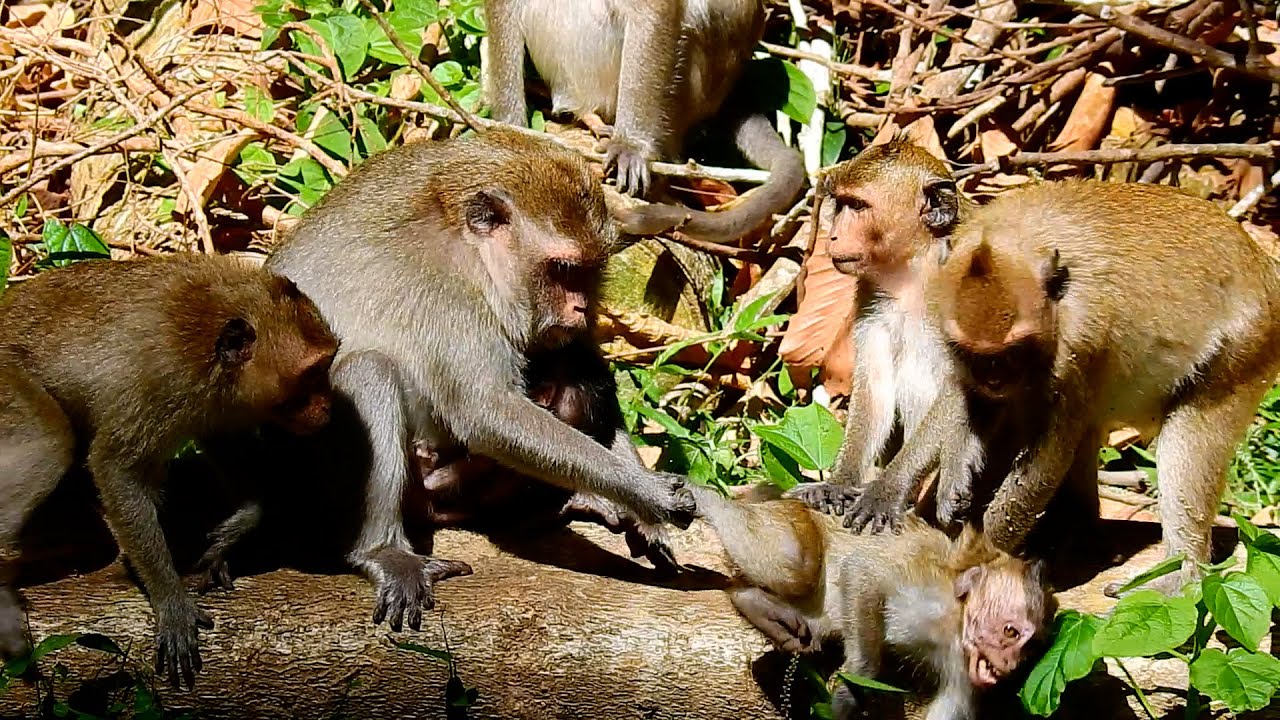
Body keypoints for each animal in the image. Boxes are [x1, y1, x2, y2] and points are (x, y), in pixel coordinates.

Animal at [0, 253, 338, 688]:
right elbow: (117, 469)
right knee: (50, 440)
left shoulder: (221, 400)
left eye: (326, 365)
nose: (328, 407)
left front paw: (236, 530)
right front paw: (170, 597)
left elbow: (223, 443)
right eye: (312, 374)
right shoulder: (159, 378)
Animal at [225, 127, 697, 632]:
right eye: (563, 269)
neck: (472, 248)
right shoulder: (450, 292)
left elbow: (585, 371)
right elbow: (484, 411)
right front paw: (651, 494)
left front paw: (643, 514)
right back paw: (384, 550)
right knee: (368, 371)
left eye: (591, 271)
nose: (580, 307)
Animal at [690, 485, 1054, 720]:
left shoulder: (961, 663)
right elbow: (862, 572)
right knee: (796, 568)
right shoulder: (923, 581)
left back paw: (754, 603)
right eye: (1010, 632)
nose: (1010, 665)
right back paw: (702, 499)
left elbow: (951, 706)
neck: (954, 617)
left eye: (1030, 648)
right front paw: (855, 683)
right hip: (786, 519)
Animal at [781, 139, 965, 533]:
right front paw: (838, 483)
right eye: (841, 204)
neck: (914, 275)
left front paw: (887, 488)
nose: (833, 235)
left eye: (858, 206)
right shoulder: (870, 294)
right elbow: (875, 389)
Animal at [924, 179, 1280, 593]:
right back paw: (1077, 531)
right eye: (975, 355)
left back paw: (1182, 572)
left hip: (1245, 352)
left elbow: (1049, 457)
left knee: (1188, 438)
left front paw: (984, 549)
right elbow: (978, 404)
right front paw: (954, 476)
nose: (994, 378)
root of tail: (1264, 269)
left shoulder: (1079, 345)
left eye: (1011, 352)